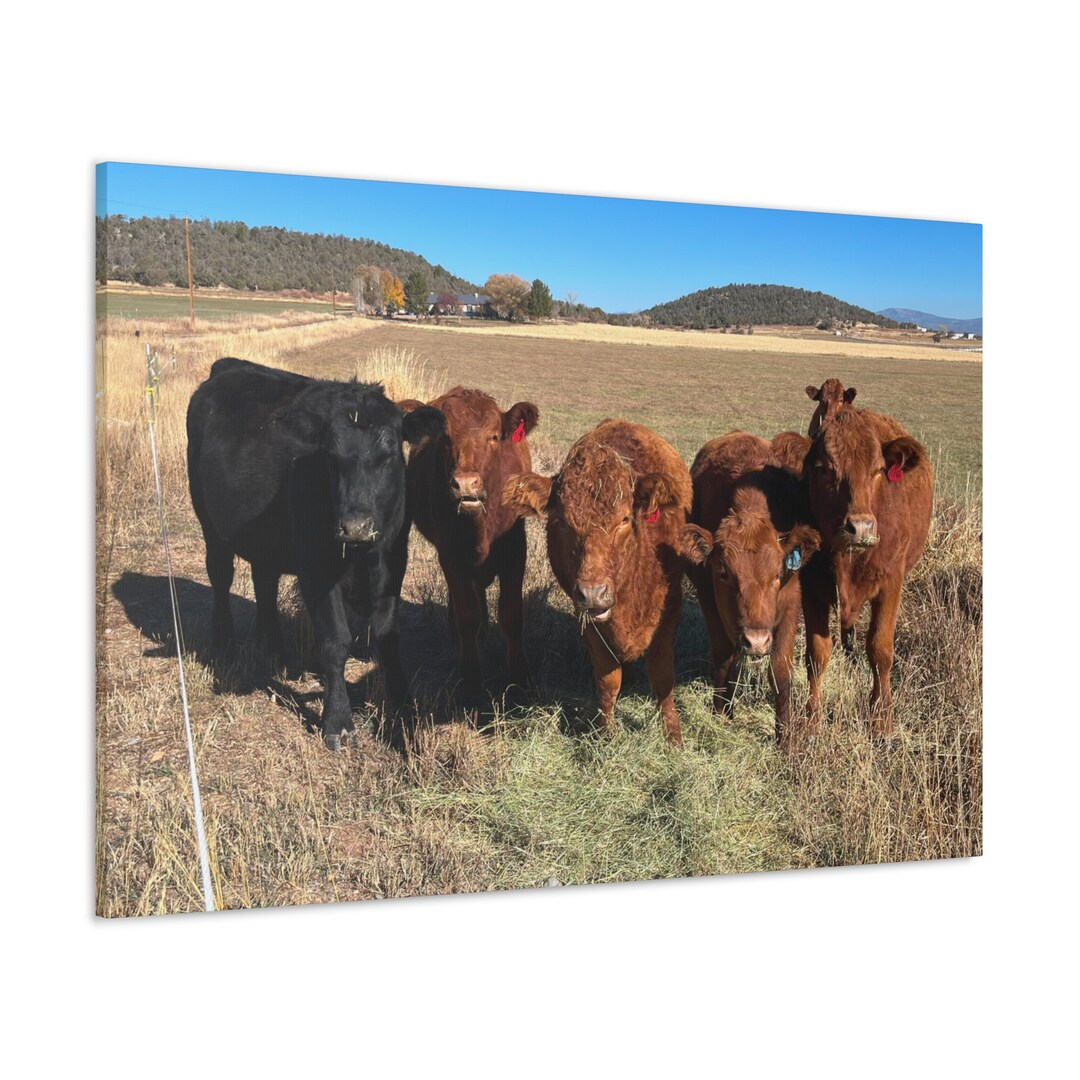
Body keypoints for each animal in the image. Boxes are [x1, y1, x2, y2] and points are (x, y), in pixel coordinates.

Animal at [186, 357, 446, 751]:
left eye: (388, 455)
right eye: (330, 457)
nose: (355, 526)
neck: (362, 556)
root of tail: (229, 367)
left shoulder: (393, 565)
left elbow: (388, 639)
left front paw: (403, 706)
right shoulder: (317, 570)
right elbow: (335, 642)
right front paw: (338, 722)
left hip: (267, 538)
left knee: (265, 581)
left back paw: (275, 648)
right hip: (209, 520)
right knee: (220, 575)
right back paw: (224, 640)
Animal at [404, 386, 539, 709]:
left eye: (494, 436)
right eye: (444, 437)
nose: (465, 484)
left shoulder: (515, 551)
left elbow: (512, 614)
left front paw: (519, 680)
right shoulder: (451, 556)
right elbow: (468, 616)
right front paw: (469, 683)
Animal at [503, 419, 703, 746]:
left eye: (624, 520)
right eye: (561, 521)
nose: (593, 593)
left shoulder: (669, 610)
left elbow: (662, 677)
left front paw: (673, 736)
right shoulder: (586, 619)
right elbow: (608, 680)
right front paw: (606, 733)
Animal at [685, 432, 821, 755]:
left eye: (776, 576)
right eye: (723, 572)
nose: (756, 640)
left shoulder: (790, 602)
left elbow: (780, 671)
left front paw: (785, 739)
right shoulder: (709, 600)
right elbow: (724, 657)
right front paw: (721, 715)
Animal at [799, 406, 933, 741]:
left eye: (877, 471)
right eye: (824, 469)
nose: (860, 527)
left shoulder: (891, 584)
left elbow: (880, 650)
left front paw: (882, 721)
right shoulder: (811, 588)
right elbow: (816, 655)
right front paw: (811, 721)